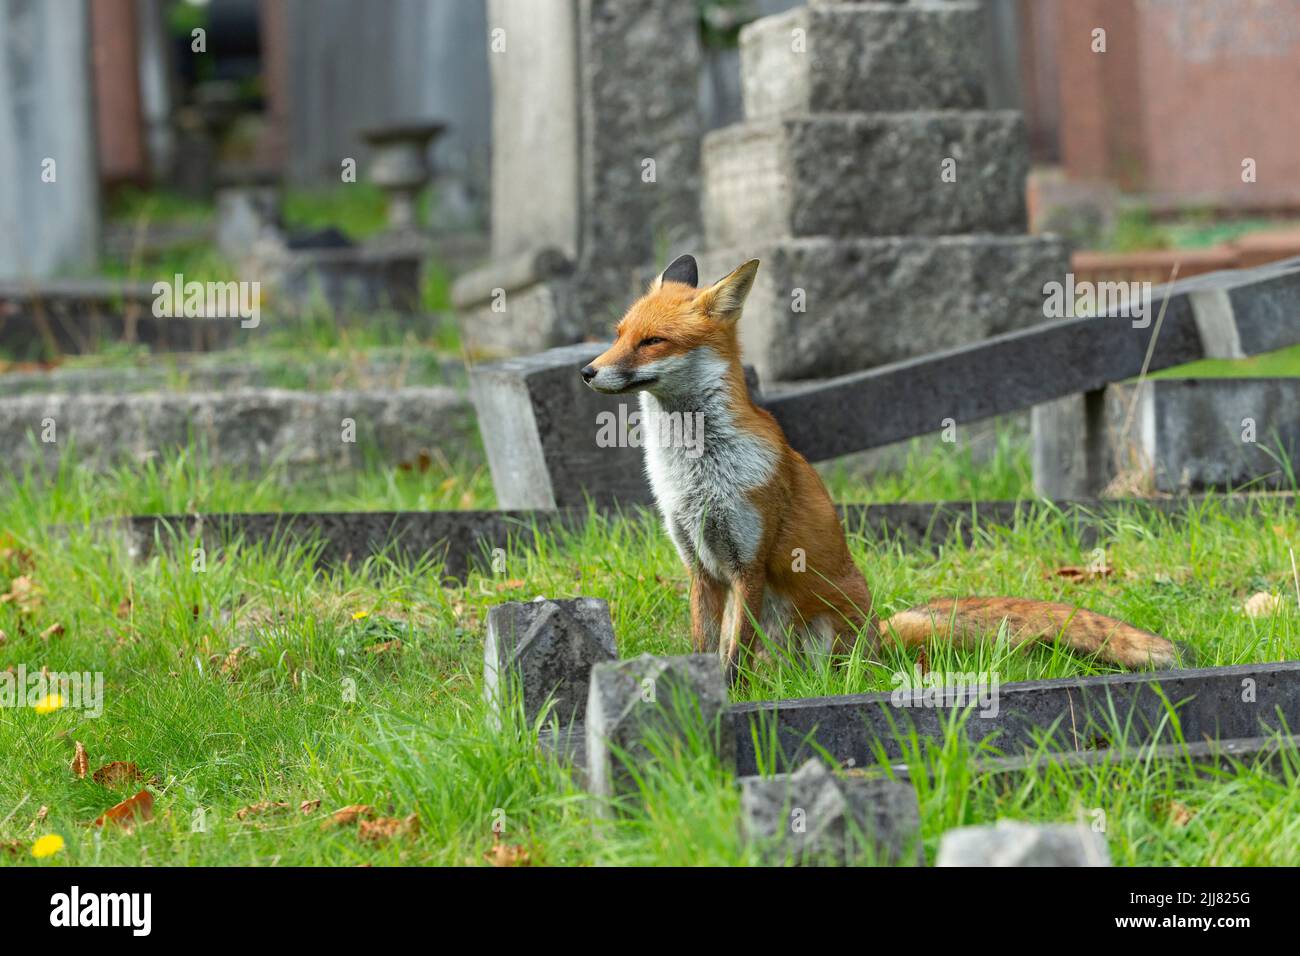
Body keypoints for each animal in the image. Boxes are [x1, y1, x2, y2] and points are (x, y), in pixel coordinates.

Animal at [580, 254, 1184, 684]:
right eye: (618, 333)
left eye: (652, 341)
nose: (587, 371)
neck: (694, 471)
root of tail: (878, 637)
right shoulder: (699, 567)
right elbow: (704, 647)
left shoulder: (748, 564)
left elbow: (733, 657)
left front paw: (729, 697)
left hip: (822, 628)